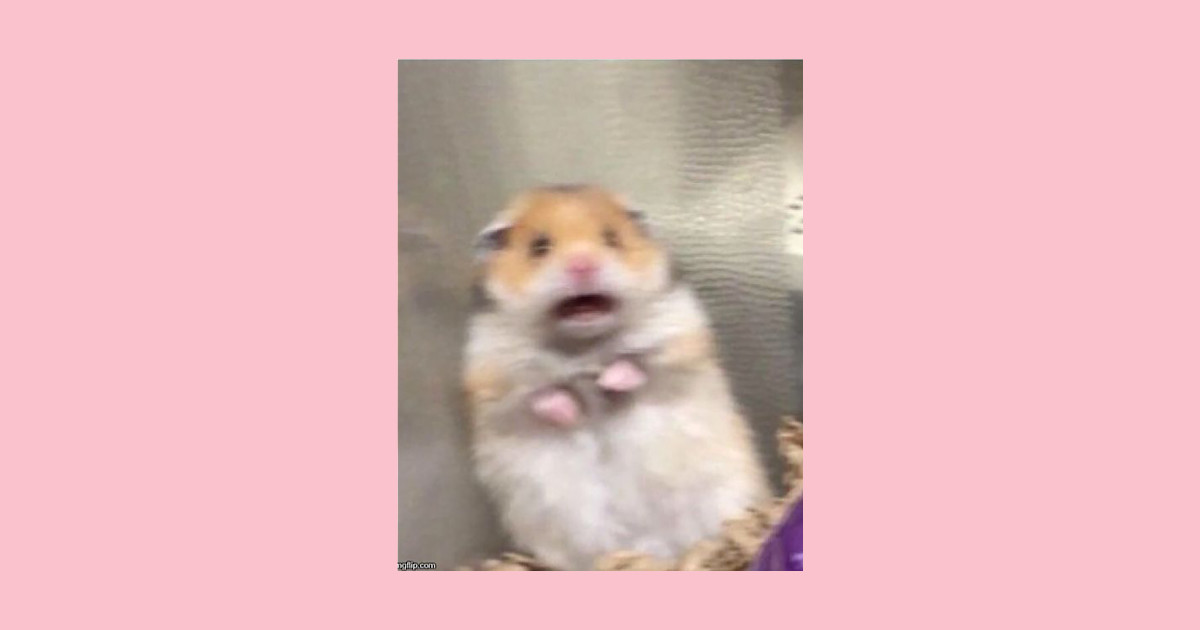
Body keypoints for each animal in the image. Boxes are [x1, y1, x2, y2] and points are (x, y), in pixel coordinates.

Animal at [463, 185, 769, 570]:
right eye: (539, 247)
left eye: (611, 239)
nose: (583, 265)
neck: (584, 345)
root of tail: (653, 550)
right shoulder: (492, 379)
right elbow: (540, 395)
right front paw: (573, 412)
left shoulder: (681, 341)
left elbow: (637, 366)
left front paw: (607, 383)